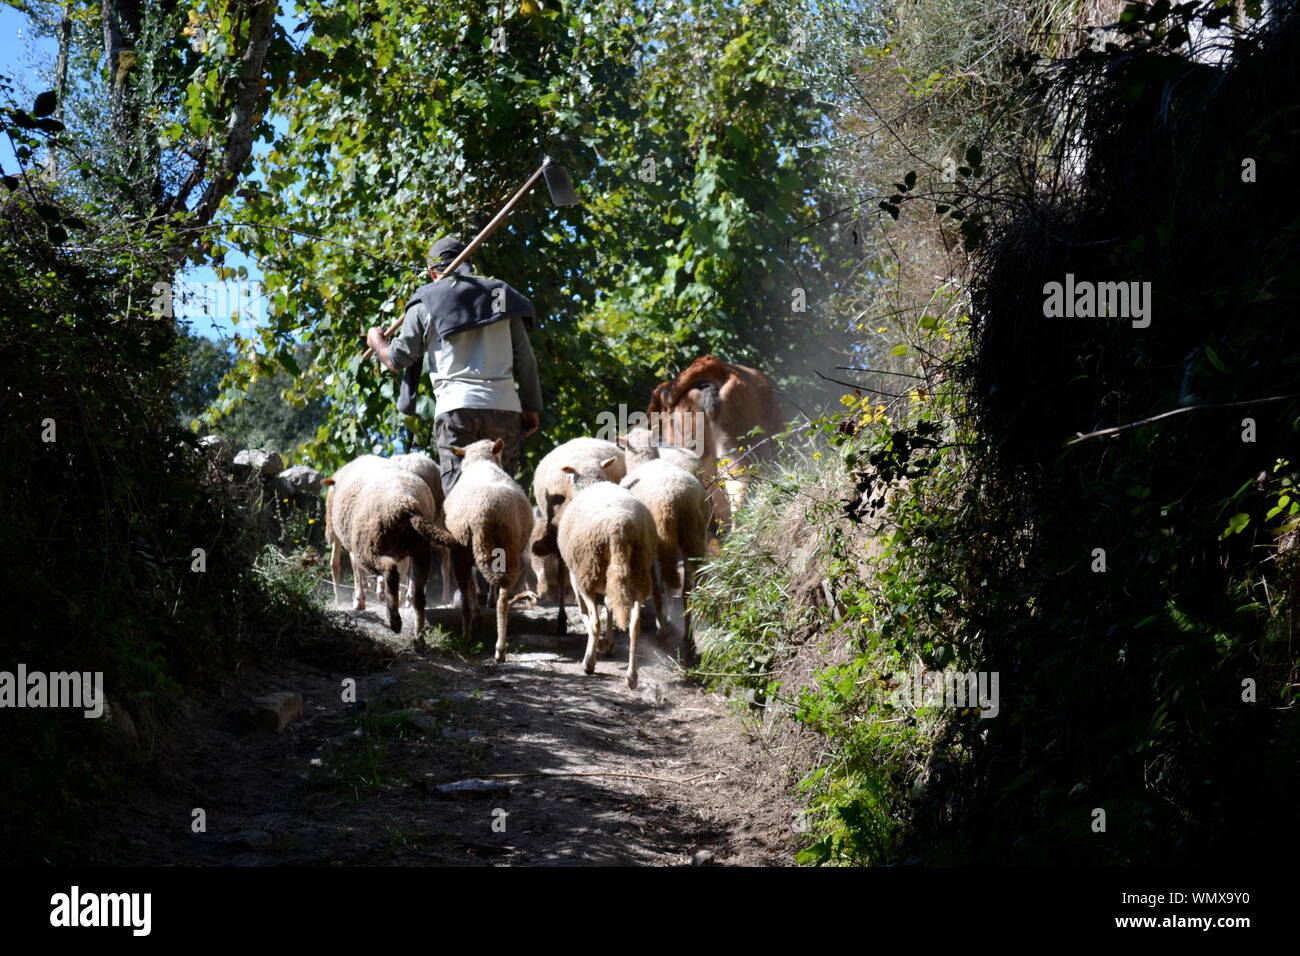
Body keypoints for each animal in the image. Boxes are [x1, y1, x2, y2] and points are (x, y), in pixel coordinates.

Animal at [323, 454, 452, 634]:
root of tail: (406, 503)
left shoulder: (355, 543)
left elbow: (349, 567)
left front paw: (359, 600)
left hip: (370, 546)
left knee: (391, 571)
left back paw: (394, 615)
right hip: (423, 541)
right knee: (424, 583)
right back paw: (418, 621)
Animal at [442, 439, 533, 662]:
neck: (481, 461)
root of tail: (486, 513)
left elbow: (472, 586)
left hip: (462, 550)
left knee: (467, 598)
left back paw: (467, 637)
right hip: (508, 547)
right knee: (503, 597)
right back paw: (500, 648)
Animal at [556, 455, 658, 689]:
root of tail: (619, 527)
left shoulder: (575, 575)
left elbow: (585, 612)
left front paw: (602, 645)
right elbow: (611, 606)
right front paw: (609, 643)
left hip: (588, 571)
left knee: (594, 621)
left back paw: (589, 663)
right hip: (638, 573)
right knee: (635, 624)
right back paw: (631, 676)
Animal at [618, 428, 710, 653]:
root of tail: (673, 498)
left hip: (656, 544)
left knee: (658, 589)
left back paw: (663, 632)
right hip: (693, 537)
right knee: (687, 589)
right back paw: (688, 638)